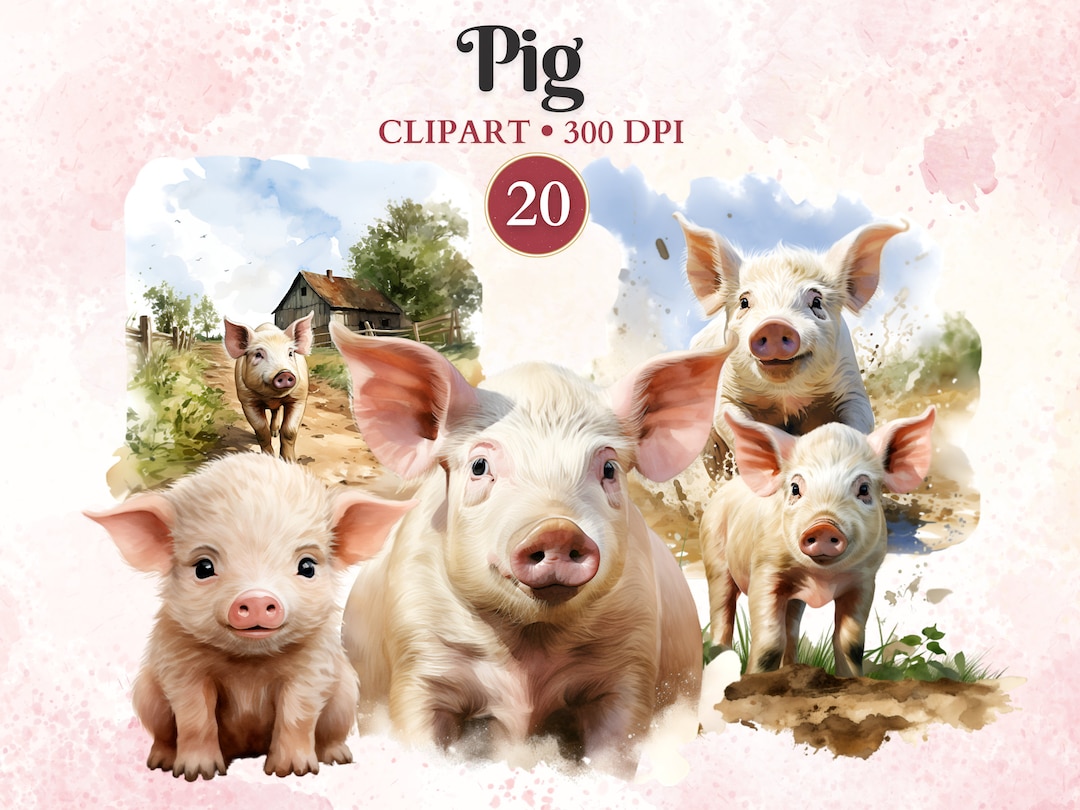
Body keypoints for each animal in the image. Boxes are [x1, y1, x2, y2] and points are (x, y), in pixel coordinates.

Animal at [84, 452, 414, 779]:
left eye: (307, 566)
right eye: (203, 567)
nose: (257, 598)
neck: (249, 665)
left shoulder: (314, 667)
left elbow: (298, 715)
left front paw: (292, 772)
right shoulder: (179, 667)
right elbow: (194, 717)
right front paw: (197, 774)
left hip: (346, 696)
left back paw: (338, 759)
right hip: (146, 695)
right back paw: (161, 763)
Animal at [224, 313, 314, 463]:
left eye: (290, 353)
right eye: (258, 354)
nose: (284, 373)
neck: (272, 397)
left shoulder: (300, 398)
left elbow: (289, 431)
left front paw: (289, 461)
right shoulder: (247, 401)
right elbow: (261, 431)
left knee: (276, 412)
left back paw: (275, 433)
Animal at [330, 322, 731, 773]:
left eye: (609, 468)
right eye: (479, 466)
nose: (557, 528)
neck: (529, 647)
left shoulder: (632, 662)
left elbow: (614, 753)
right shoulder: (417, 660)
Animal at [674, 212, 908, 478]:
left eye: (816, 301)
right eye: (744, 302)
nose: (775, 325)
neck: (786, 397)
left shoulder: (851, 385)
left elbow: (859, 420)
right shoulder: (727, 393)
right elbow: (733, 423)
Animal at [700, 407, 935, 677]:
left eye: (864, 489)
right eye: (795, 488)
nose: (823, 525)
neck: (822, 577)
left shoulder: (864, 580)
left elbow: (851, 643)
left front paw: (851, 680)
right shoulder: (765, 571)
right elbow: (769, 642)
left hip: (793, 598)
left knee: (791, 629)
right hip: (715, 558)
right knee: (722, 613)